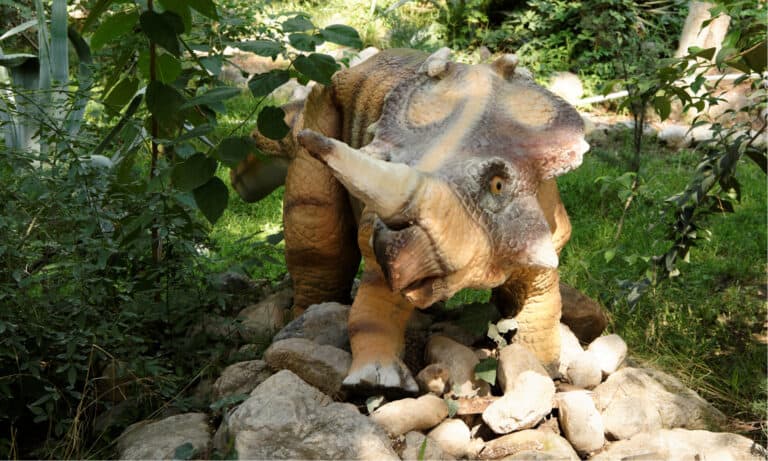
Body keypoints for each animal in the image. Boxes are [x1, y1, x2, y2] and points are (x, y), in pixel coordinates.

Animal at [231, 48, 589, 393]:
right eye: (386, 159)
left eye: (498, 184)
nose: (392, 247)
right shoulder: (377, 220)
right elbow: (375, 301)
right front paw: (375, 380)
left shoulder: (545, 228)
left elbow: (539, 301)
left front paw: (541, 368)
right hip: (321, 110)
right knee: (317, 232)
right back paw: (306, 318)